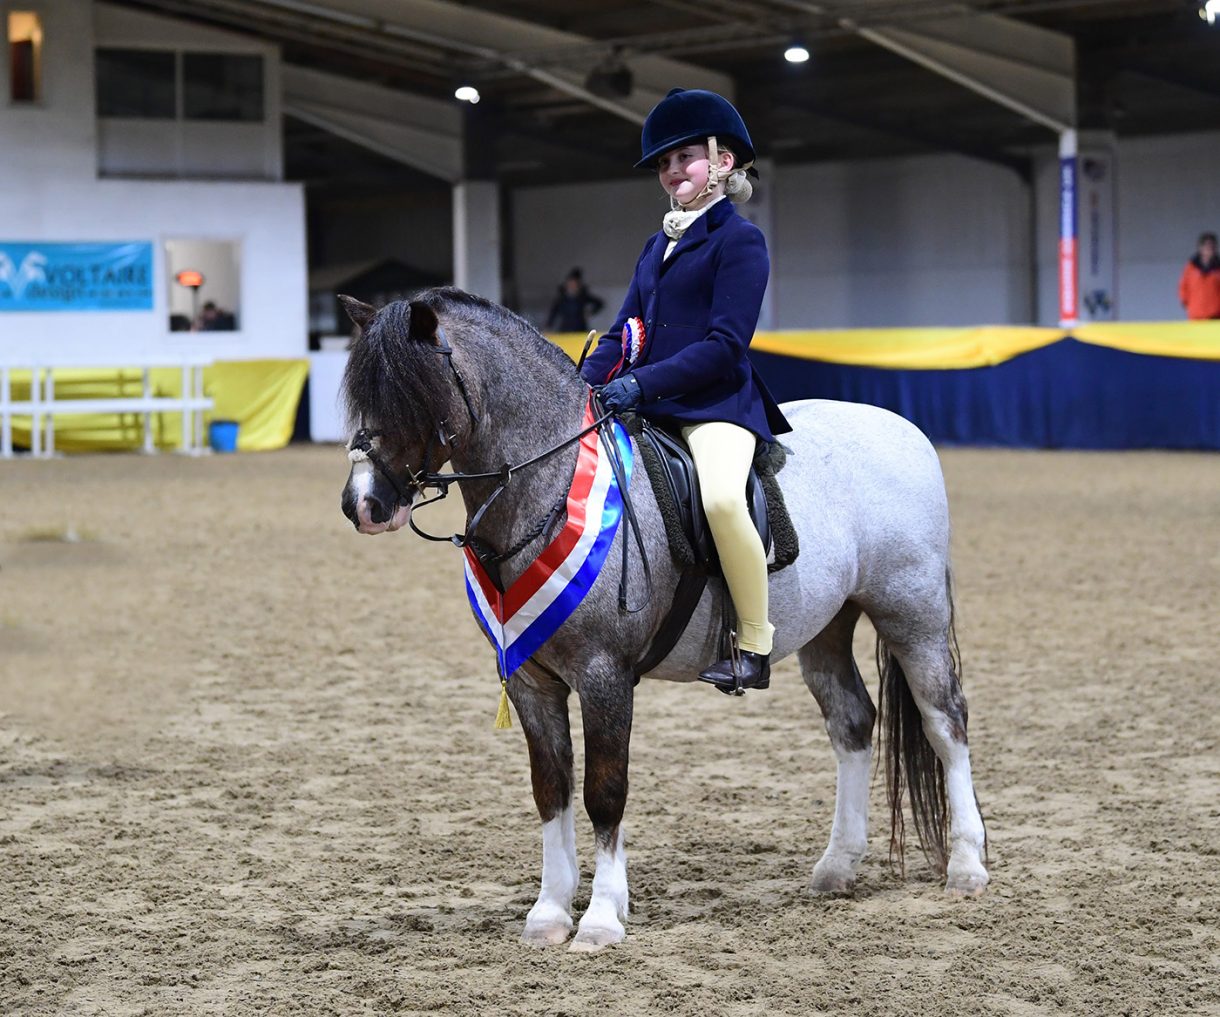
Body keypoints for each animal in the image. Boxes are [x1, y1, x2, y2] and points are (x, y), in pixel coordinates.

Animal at [338, 287, 989, 953]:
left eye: (412, 394)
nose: (362, 505)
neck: (552, 483)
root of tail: (902, 428)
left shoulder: (604, 676)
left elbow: (604, 792)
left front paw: (601, 919)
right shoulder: (531, 682)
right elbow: (551, 789)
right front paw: (550, 913)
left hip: (911, 612)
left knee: (945, 721)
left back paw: (966, 867)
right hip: (827, 627)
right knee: (853, 723)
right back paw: (836, 869)